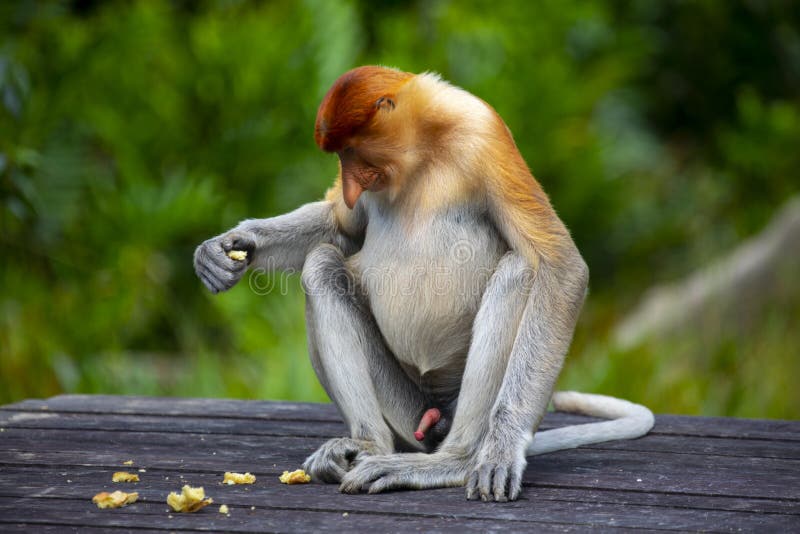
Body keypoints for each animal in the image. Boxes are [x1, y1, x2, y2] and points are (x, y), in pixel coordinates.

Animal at [194, 66, 654, 502]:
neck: (423, 153)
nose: (349, 186)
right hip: (405, 410)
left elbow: (560, 266)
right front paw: (227, 249)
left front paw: (503, 449)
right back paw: (364, 447)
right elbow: (341, 228)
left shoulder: (484, 134)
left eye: (350, 152)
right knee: (321, 266)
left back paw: (455, 460)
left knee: (520, 271)